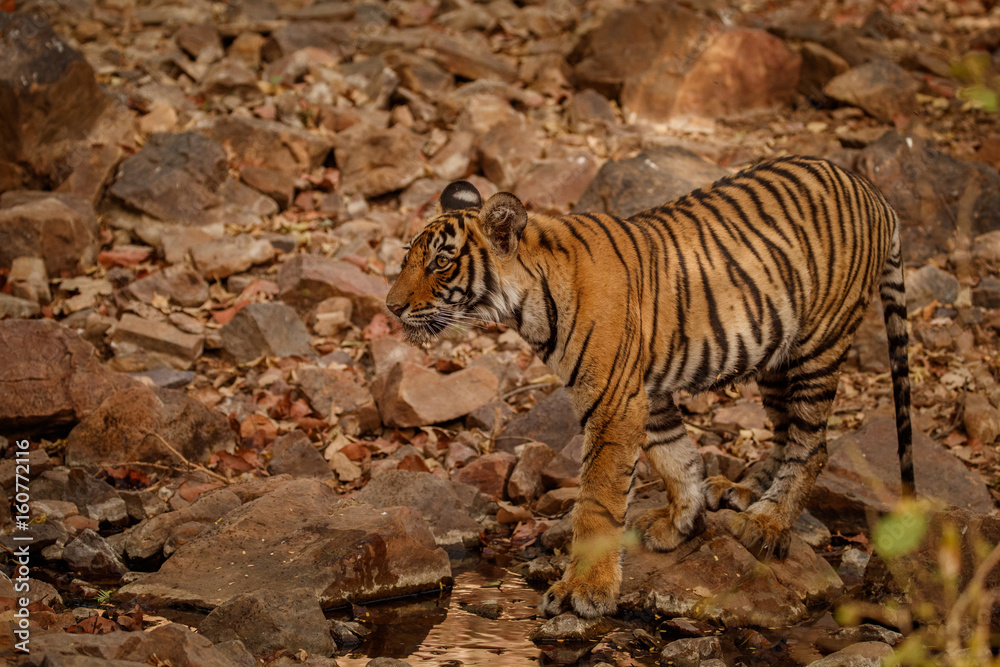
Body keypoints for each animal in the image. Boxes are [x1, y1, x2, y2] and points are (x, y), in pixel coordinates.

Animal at [385, 155, 914, 619]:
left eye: (440, 263)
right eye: (408, 257)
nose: (390, 306)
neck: (528, 305)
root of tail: (876, 194)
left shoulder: (614, 401)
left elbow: (597, 501)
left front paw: (584, 592)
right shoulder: (648, 392)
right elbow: (676, 457)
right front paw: (682, 522)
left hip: (817, 346)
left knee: (813, 445)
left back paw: (766, 522)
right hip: (774, 359)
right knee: (786, 434)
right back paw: (742, 493)